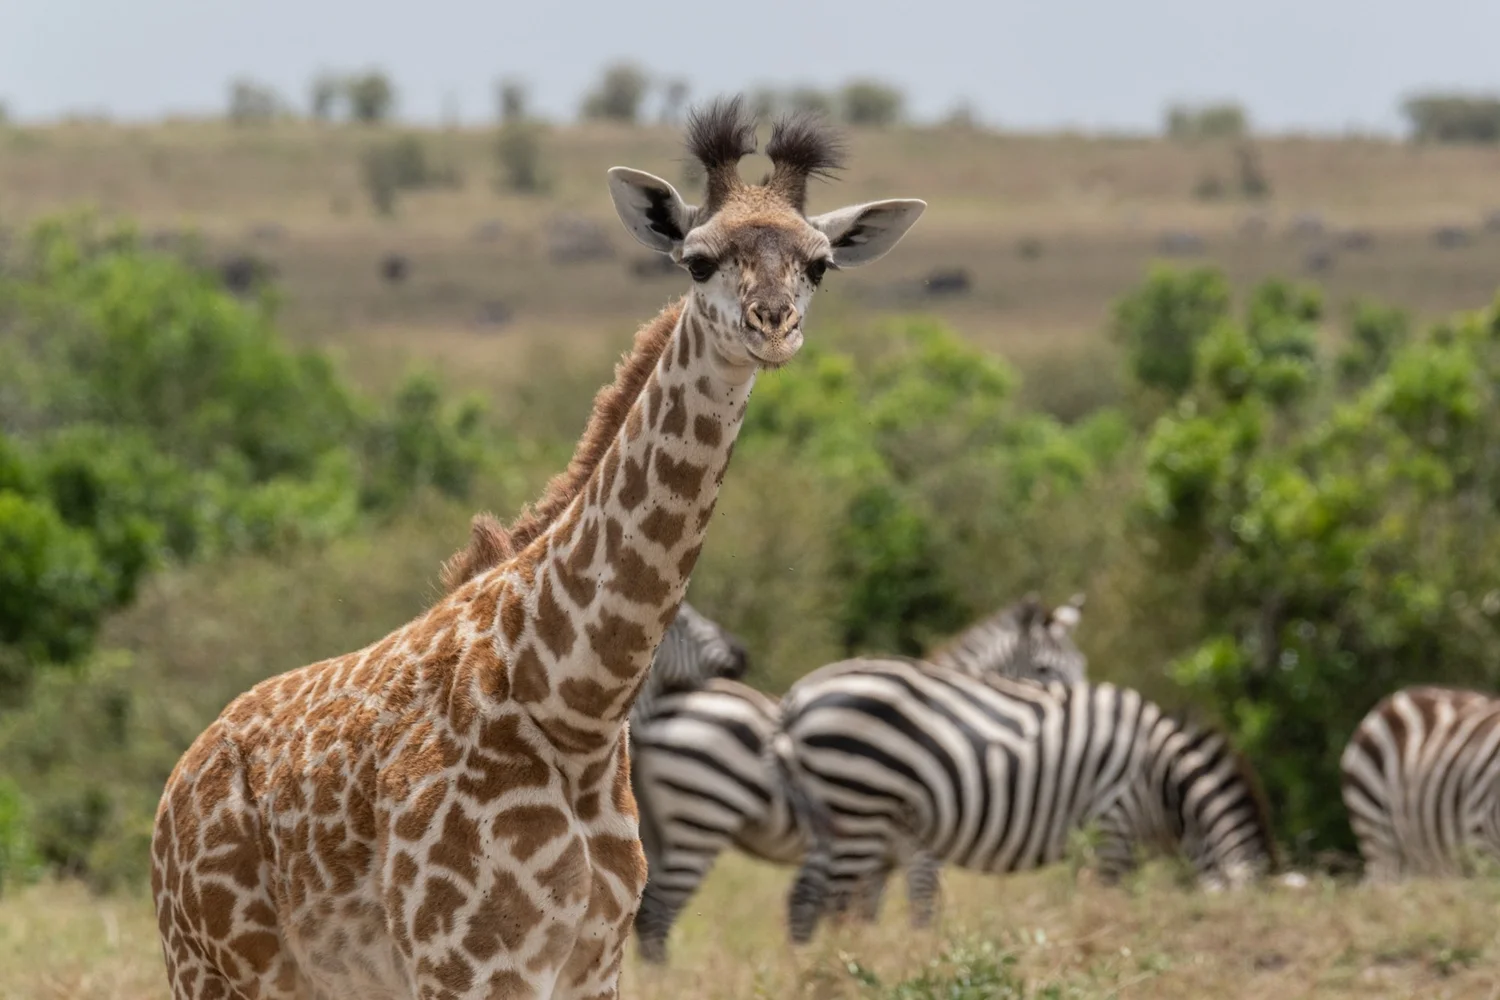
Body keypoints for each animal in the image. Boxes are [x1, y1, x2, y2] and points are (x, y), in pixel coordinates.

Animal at [149, 96, 925, 1000]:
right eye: (697, 260)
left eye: (819, 264)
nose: (773, 324)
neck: (576, 708)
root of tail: (176, 787)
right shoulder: (470, 964)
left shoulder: (594, 961)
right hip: (218, 970)